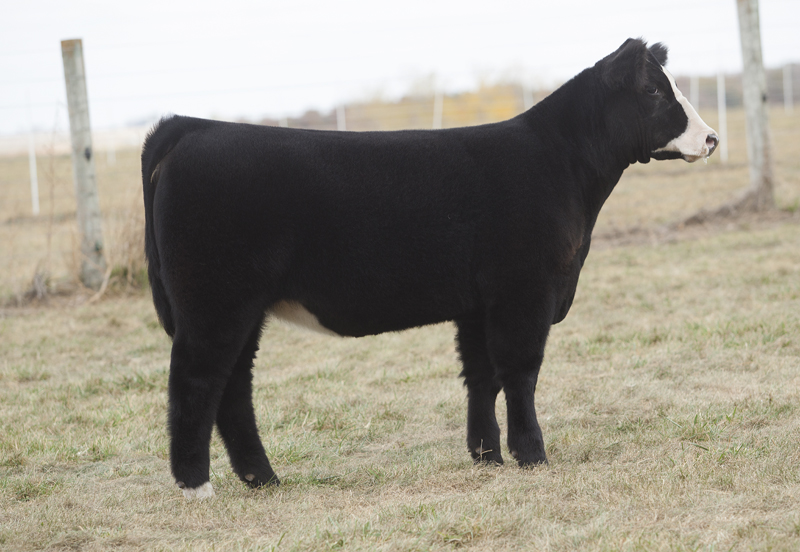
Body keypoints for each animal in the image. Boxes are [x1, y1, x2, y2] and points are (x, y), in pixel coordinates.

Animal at [141, 38, 718, 499]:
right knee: (196, 382)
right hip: (214, 303)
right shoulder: (525, 292)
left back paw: (263, 479)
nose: (711, 138)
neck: (562, 165)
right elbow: (520, 372)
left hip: (241, 310)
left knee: (233, 388)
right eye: (654, 90)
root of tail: (190, 127)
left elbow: (481, 375)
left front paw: (487, 456)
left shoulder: (479, 302)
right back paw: (197, 486)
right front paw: (532, 455)